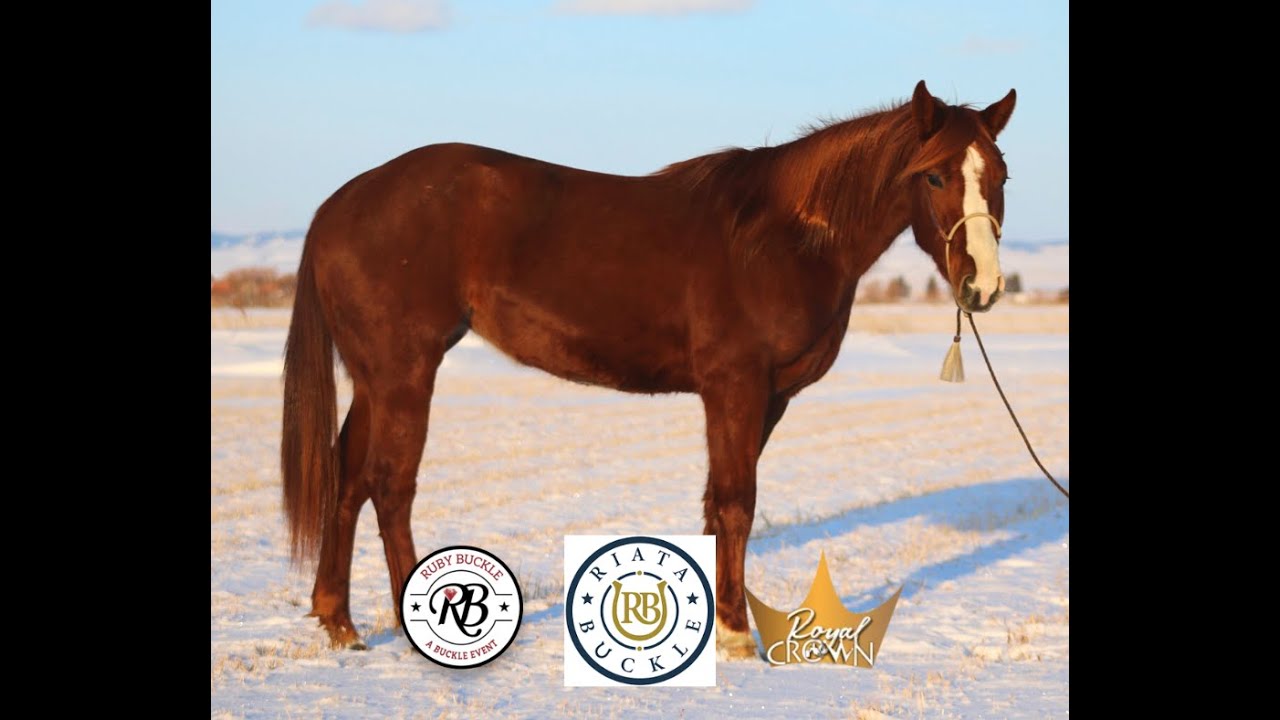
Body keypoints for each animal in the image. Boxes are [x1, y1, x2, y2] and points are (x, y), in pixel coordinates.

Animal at [281, 80, 1017, 657]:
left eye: (1001, 177)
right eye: (933, 175)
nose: (982, 286)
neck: (782, 237)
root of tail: (337, 207)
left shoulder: (769, 398)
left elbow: (719, 503)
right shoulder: (734, 385)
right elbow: (737, 502)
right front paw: (737, 635)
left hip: (375, 376)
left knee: (348, 478)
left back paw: (340, 623)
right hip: (406, 371)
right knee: (389, 485)